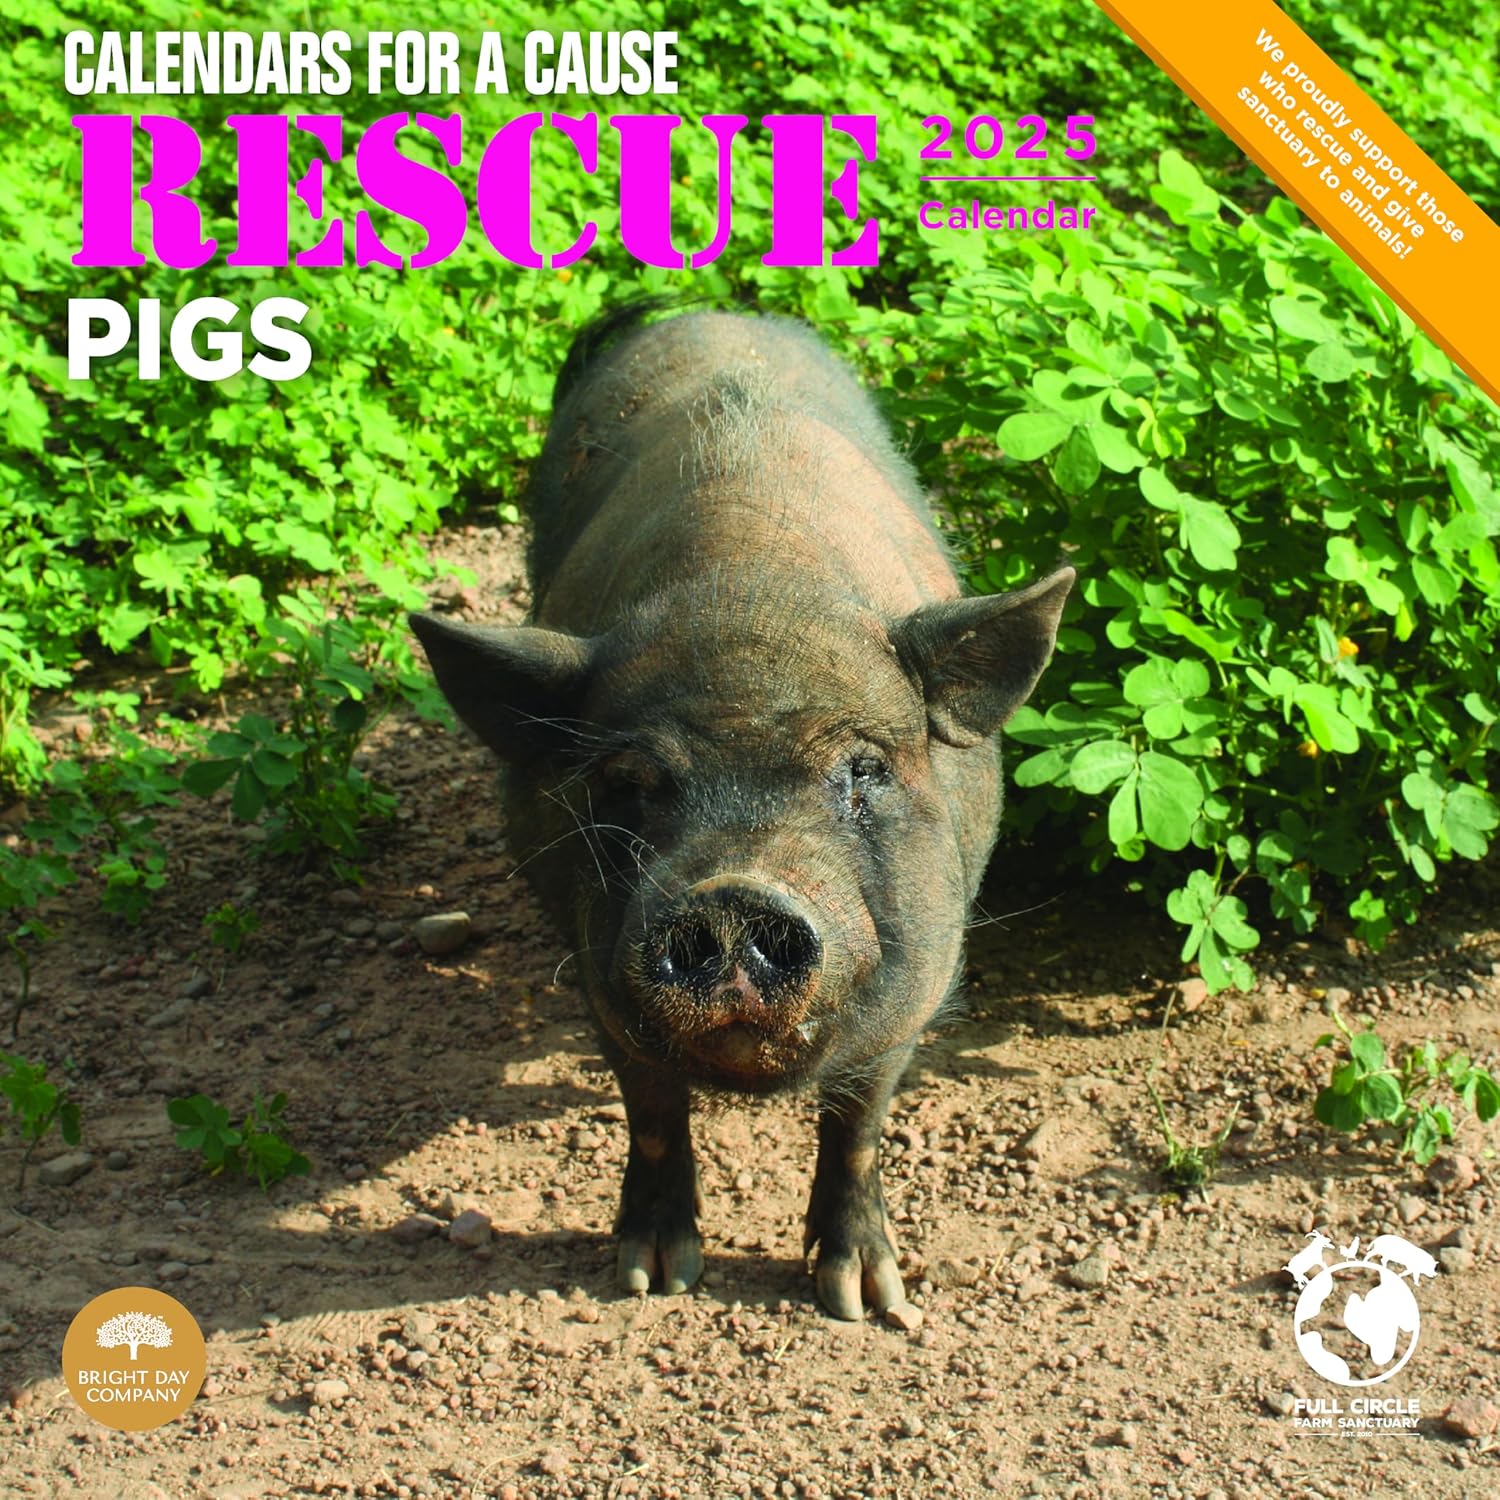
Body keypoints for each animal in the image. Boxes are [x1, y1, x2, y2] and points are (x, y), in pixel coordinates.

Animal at [411, 305, 1073, 1319]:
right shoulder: (596, 968)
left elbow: (859, 1125)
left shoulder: (921, 980)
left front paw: (865, 1301)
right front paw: (652, 1277)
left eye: (862, 770)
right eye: (628, 782)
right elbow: (650, 1110)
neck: (750, 589)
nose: (733, 896)